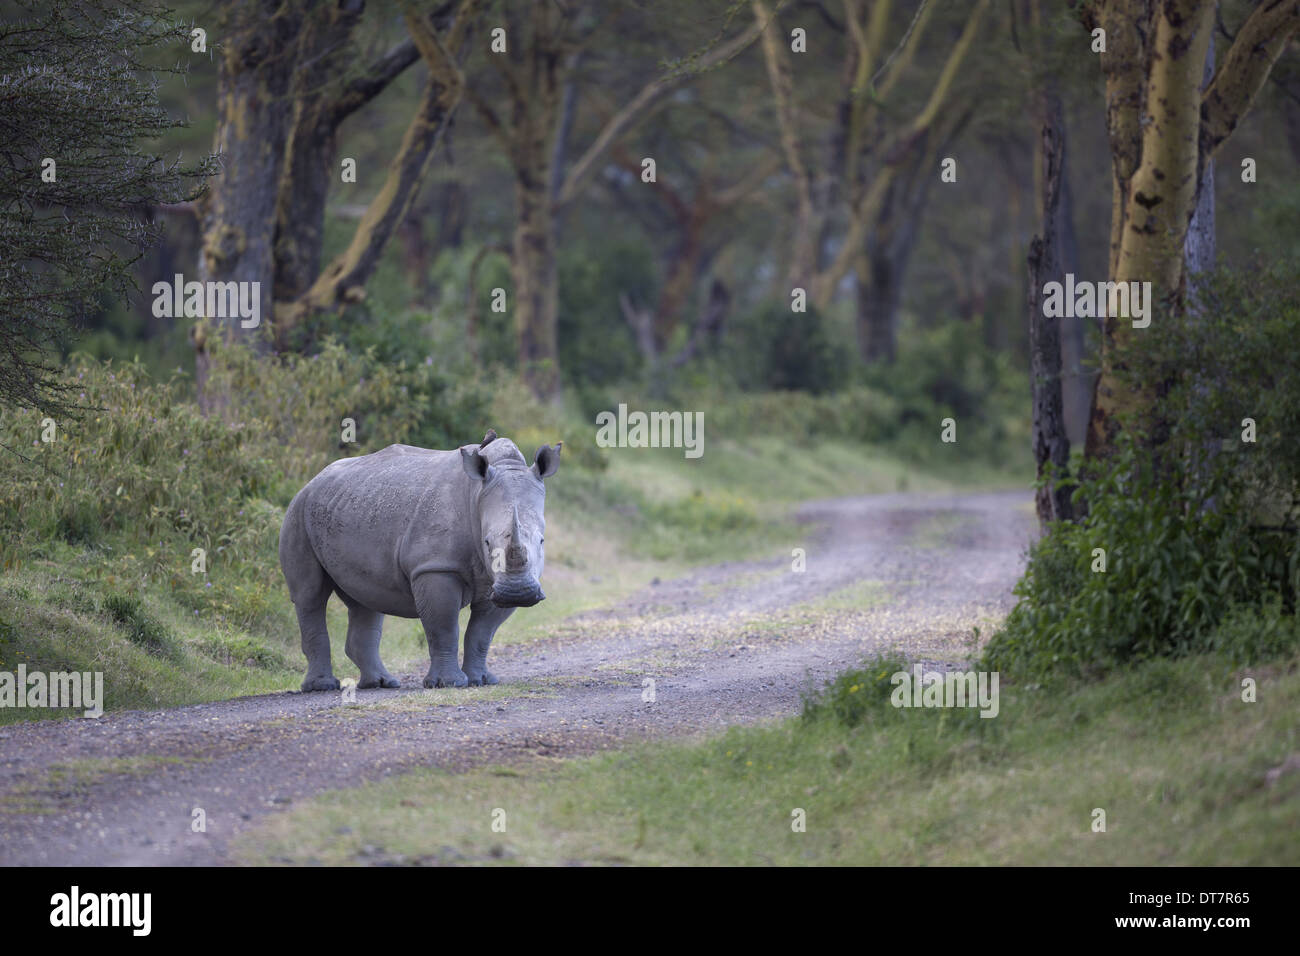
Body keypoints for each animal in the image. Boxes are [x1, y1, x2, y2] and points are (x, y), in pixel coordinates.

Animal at [279, 429, 561, 691]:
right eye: (487, 542)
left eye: (542, 541)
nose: (518, 593)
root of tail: (313, 480)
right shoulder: (435, 567)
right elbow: (444, 627)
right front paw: (448, 683)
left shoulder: (495, 582)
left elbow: (482, 632)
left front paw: (481, 680)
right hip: (298, 512)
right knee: (309, 595)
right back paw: (322, 686)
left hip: (351, 505)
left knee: (364, 601)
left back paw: (381, 683)